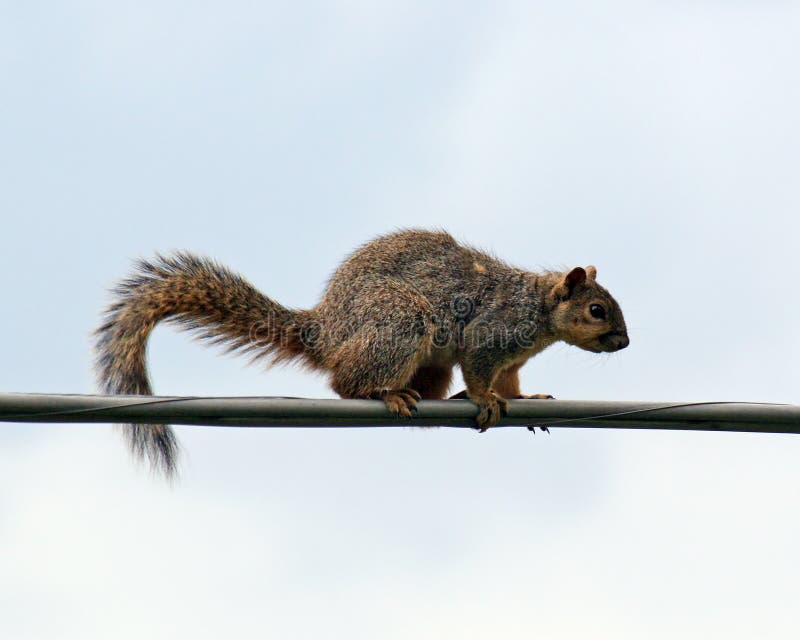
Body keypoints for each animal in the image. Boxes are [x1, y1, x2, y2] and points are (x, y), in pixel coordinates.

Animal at [95, 229, 629, 476]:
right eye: (598, 309)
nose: (624, 342)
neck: (539, 310)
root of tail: (326, 330)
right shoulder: (491, 333)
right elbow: (480, 373)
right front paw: (484, 400)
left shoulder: (513, 358)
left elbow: (511, 382)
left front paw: (524, 401)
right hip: (399, 322)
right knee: (345, 382)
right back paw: (385, 394)